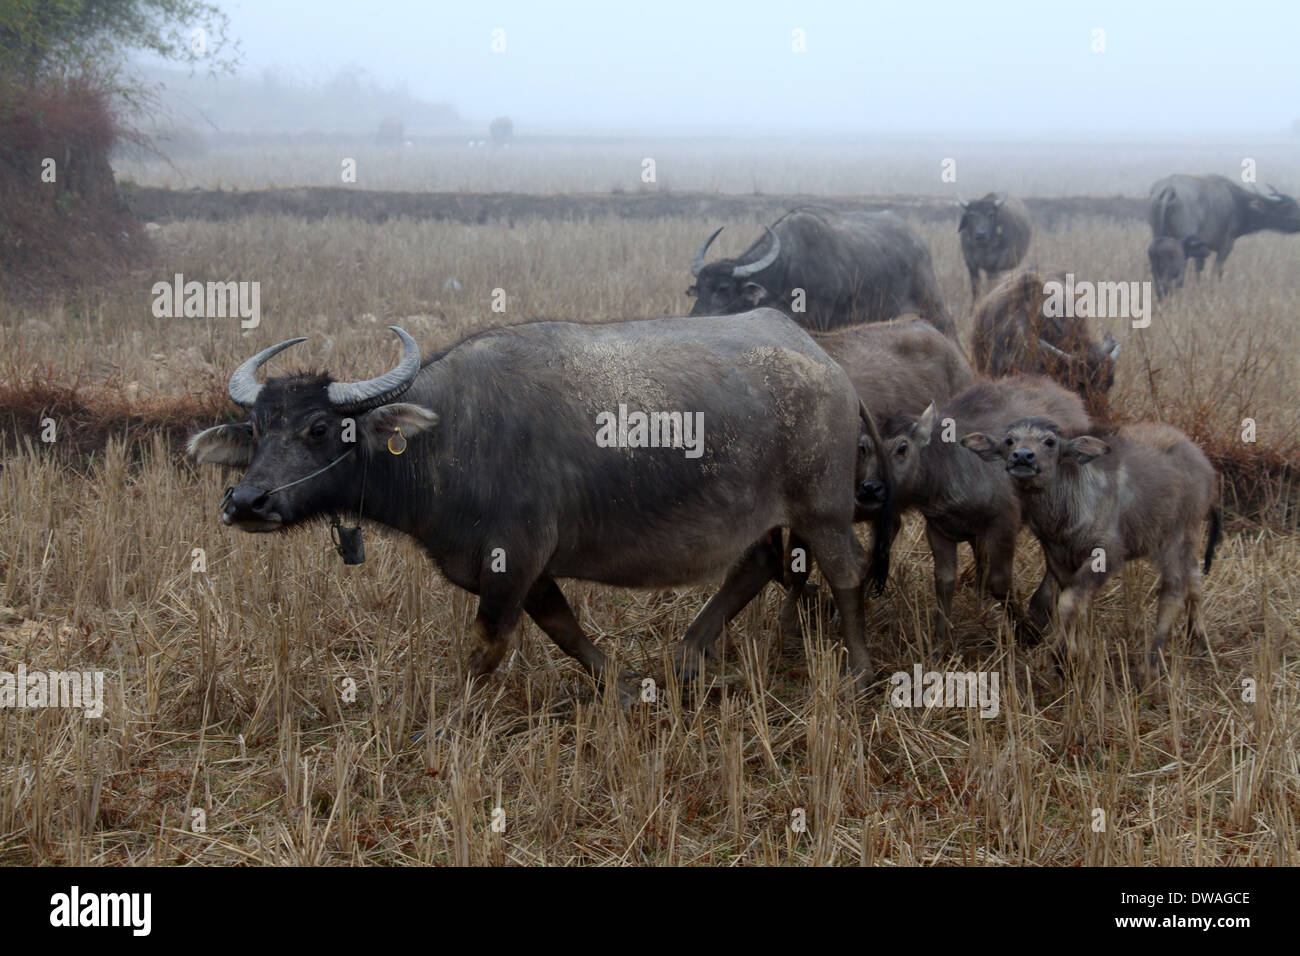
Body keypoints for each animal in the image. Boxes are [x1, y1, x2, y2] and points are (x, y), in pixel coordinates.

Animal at [189, 317, 895, 705]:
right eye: (256, 429)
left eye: (318, 429)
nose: (247, 501)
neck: (449, 437)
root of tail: (832, 371)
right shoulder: (524, 568)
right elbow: (563, 627)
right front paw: (623, 687)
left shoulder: (514, 558)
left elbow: (487, 646)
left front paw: (449, 721)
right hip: (769, 516)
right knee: (756, 567)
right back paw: (687, 656)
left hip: (823, 509)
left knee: (847, 573)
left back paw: (860, 673)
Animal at [687, 206, 955, 337]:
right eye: (697, 289)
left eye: (723, 288)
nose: (695, 317)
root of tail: (918, 243)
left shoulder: (822, 320)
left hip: (932, 302)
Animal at [1149, 174, 1300, 277]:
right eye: (1288, 207)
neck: (1237, 202)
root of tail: (1169, 188)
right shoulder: (1226, 245)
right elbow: (1217, 270)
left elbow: (1199, 269)